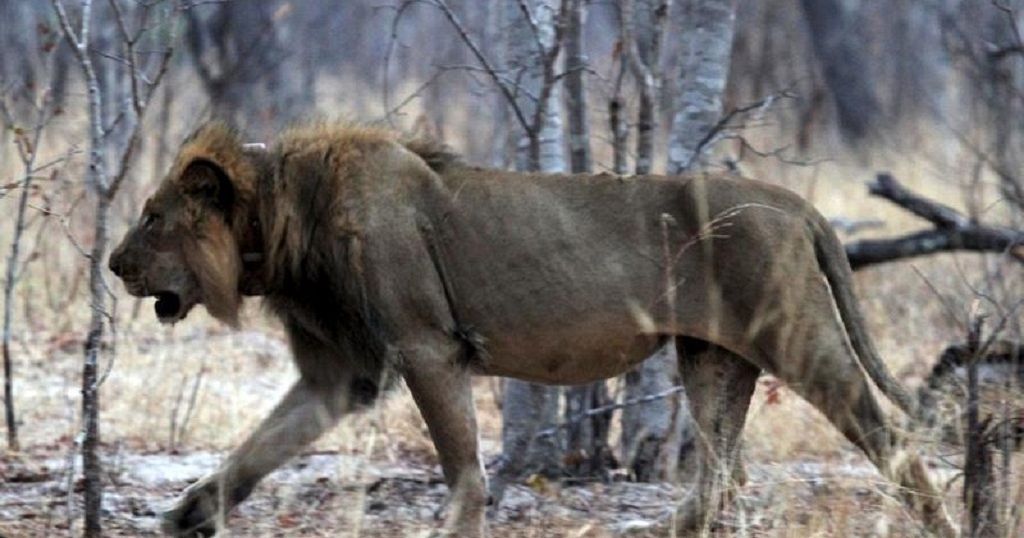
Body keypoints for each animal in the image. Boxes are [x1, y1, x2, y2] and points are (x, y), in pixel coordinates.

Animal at [108, 122, 956, 537]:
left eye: (152, 218)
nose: (114, 266)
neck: (283, 218)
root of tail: (798, 203)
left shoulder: (427, 346)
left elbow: (463, 470)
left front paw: (453, 531)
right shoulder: (338, 374)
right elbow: (258, 448)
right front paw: (187, 514)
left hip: (796, 339)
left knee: (888, 439)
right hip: (712, 358)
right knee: (720, 475)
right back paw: (652, 533)